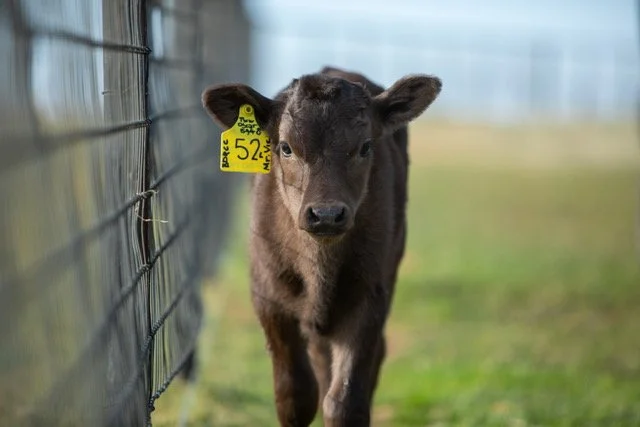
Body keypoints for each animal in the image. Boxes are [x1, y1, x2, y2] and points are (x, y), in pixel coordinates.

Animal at [202, 66, 441, 427]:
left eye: (365, 147)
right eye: (285, 147)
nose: (326, 214)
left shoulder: (370, 298)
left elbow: (345, 402)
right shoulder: (268, 299)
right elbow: (294, 395)